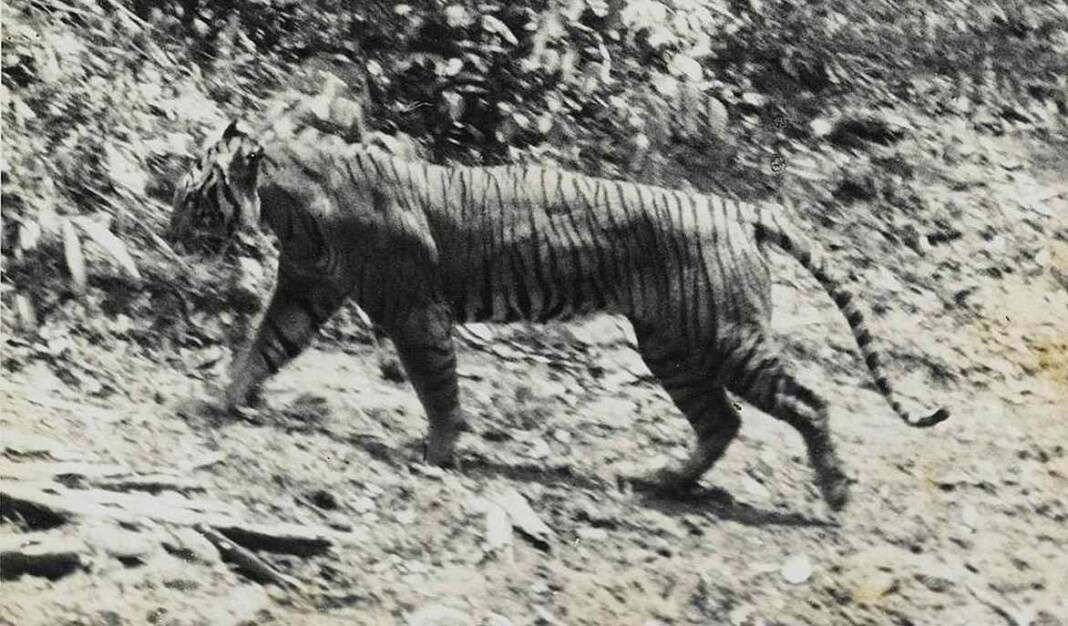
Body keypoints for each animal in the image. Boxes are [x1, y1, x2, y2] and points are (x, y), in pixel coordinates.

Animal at [170, 120, 948, 512]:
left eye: (191, 193)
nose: (171, 227)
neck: (287, 205)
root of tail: (735, 206)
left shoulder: (413, 312)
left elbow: (435, 384)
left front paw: (439, 452)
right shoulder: (305, 290)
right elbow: (263, 347)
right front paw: (224, 400)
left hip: (726, 338)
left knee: (808, 401)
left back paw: (836, 492)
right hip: (671, 346)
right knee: (720, 421)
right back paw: (665, 482)